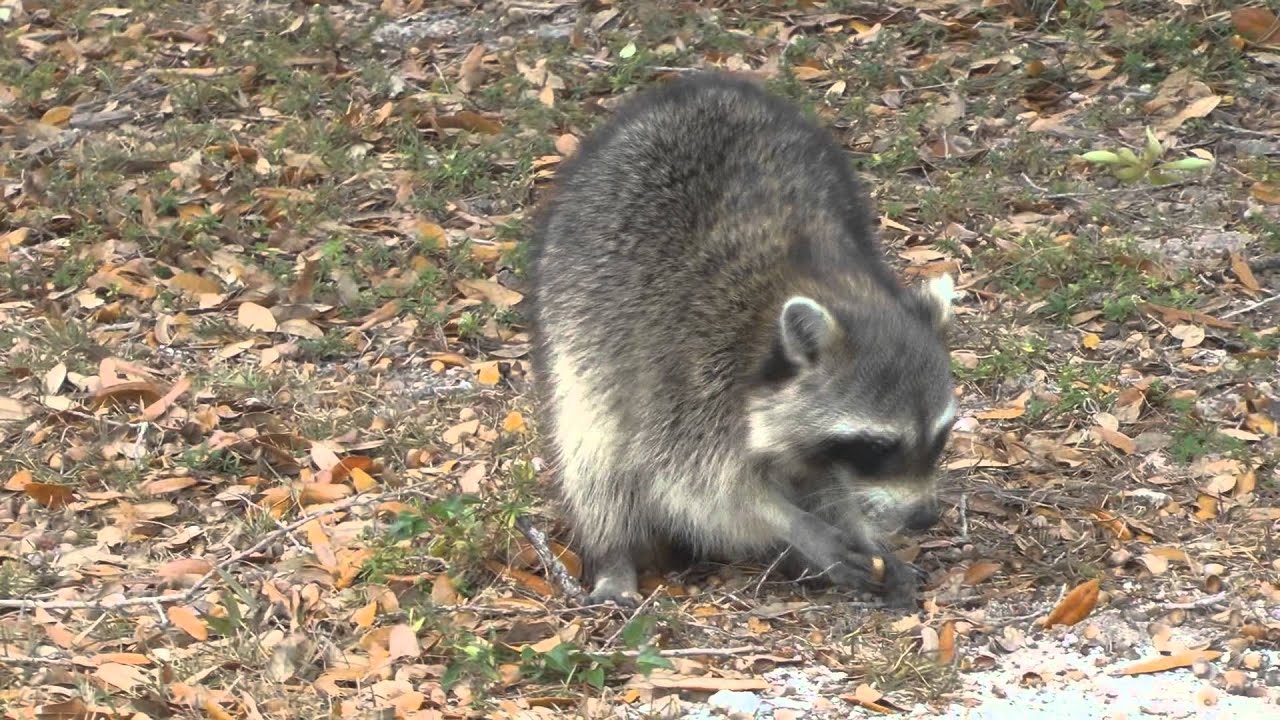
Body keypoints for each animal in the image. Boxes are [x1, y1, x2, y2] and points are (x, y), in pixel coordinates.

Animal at [526, 72, 958, 608]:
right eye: (878, 446)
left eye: (941, 437)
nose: (924, 517)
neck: (826, 283)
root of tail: (699, 86)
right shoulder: (689, 374)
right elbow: (698, 487)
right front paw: (792, 523)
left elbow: (825, 480)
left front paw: (856, 529)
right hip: (577, 318)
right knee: (597, 452)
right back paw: (614, 554)